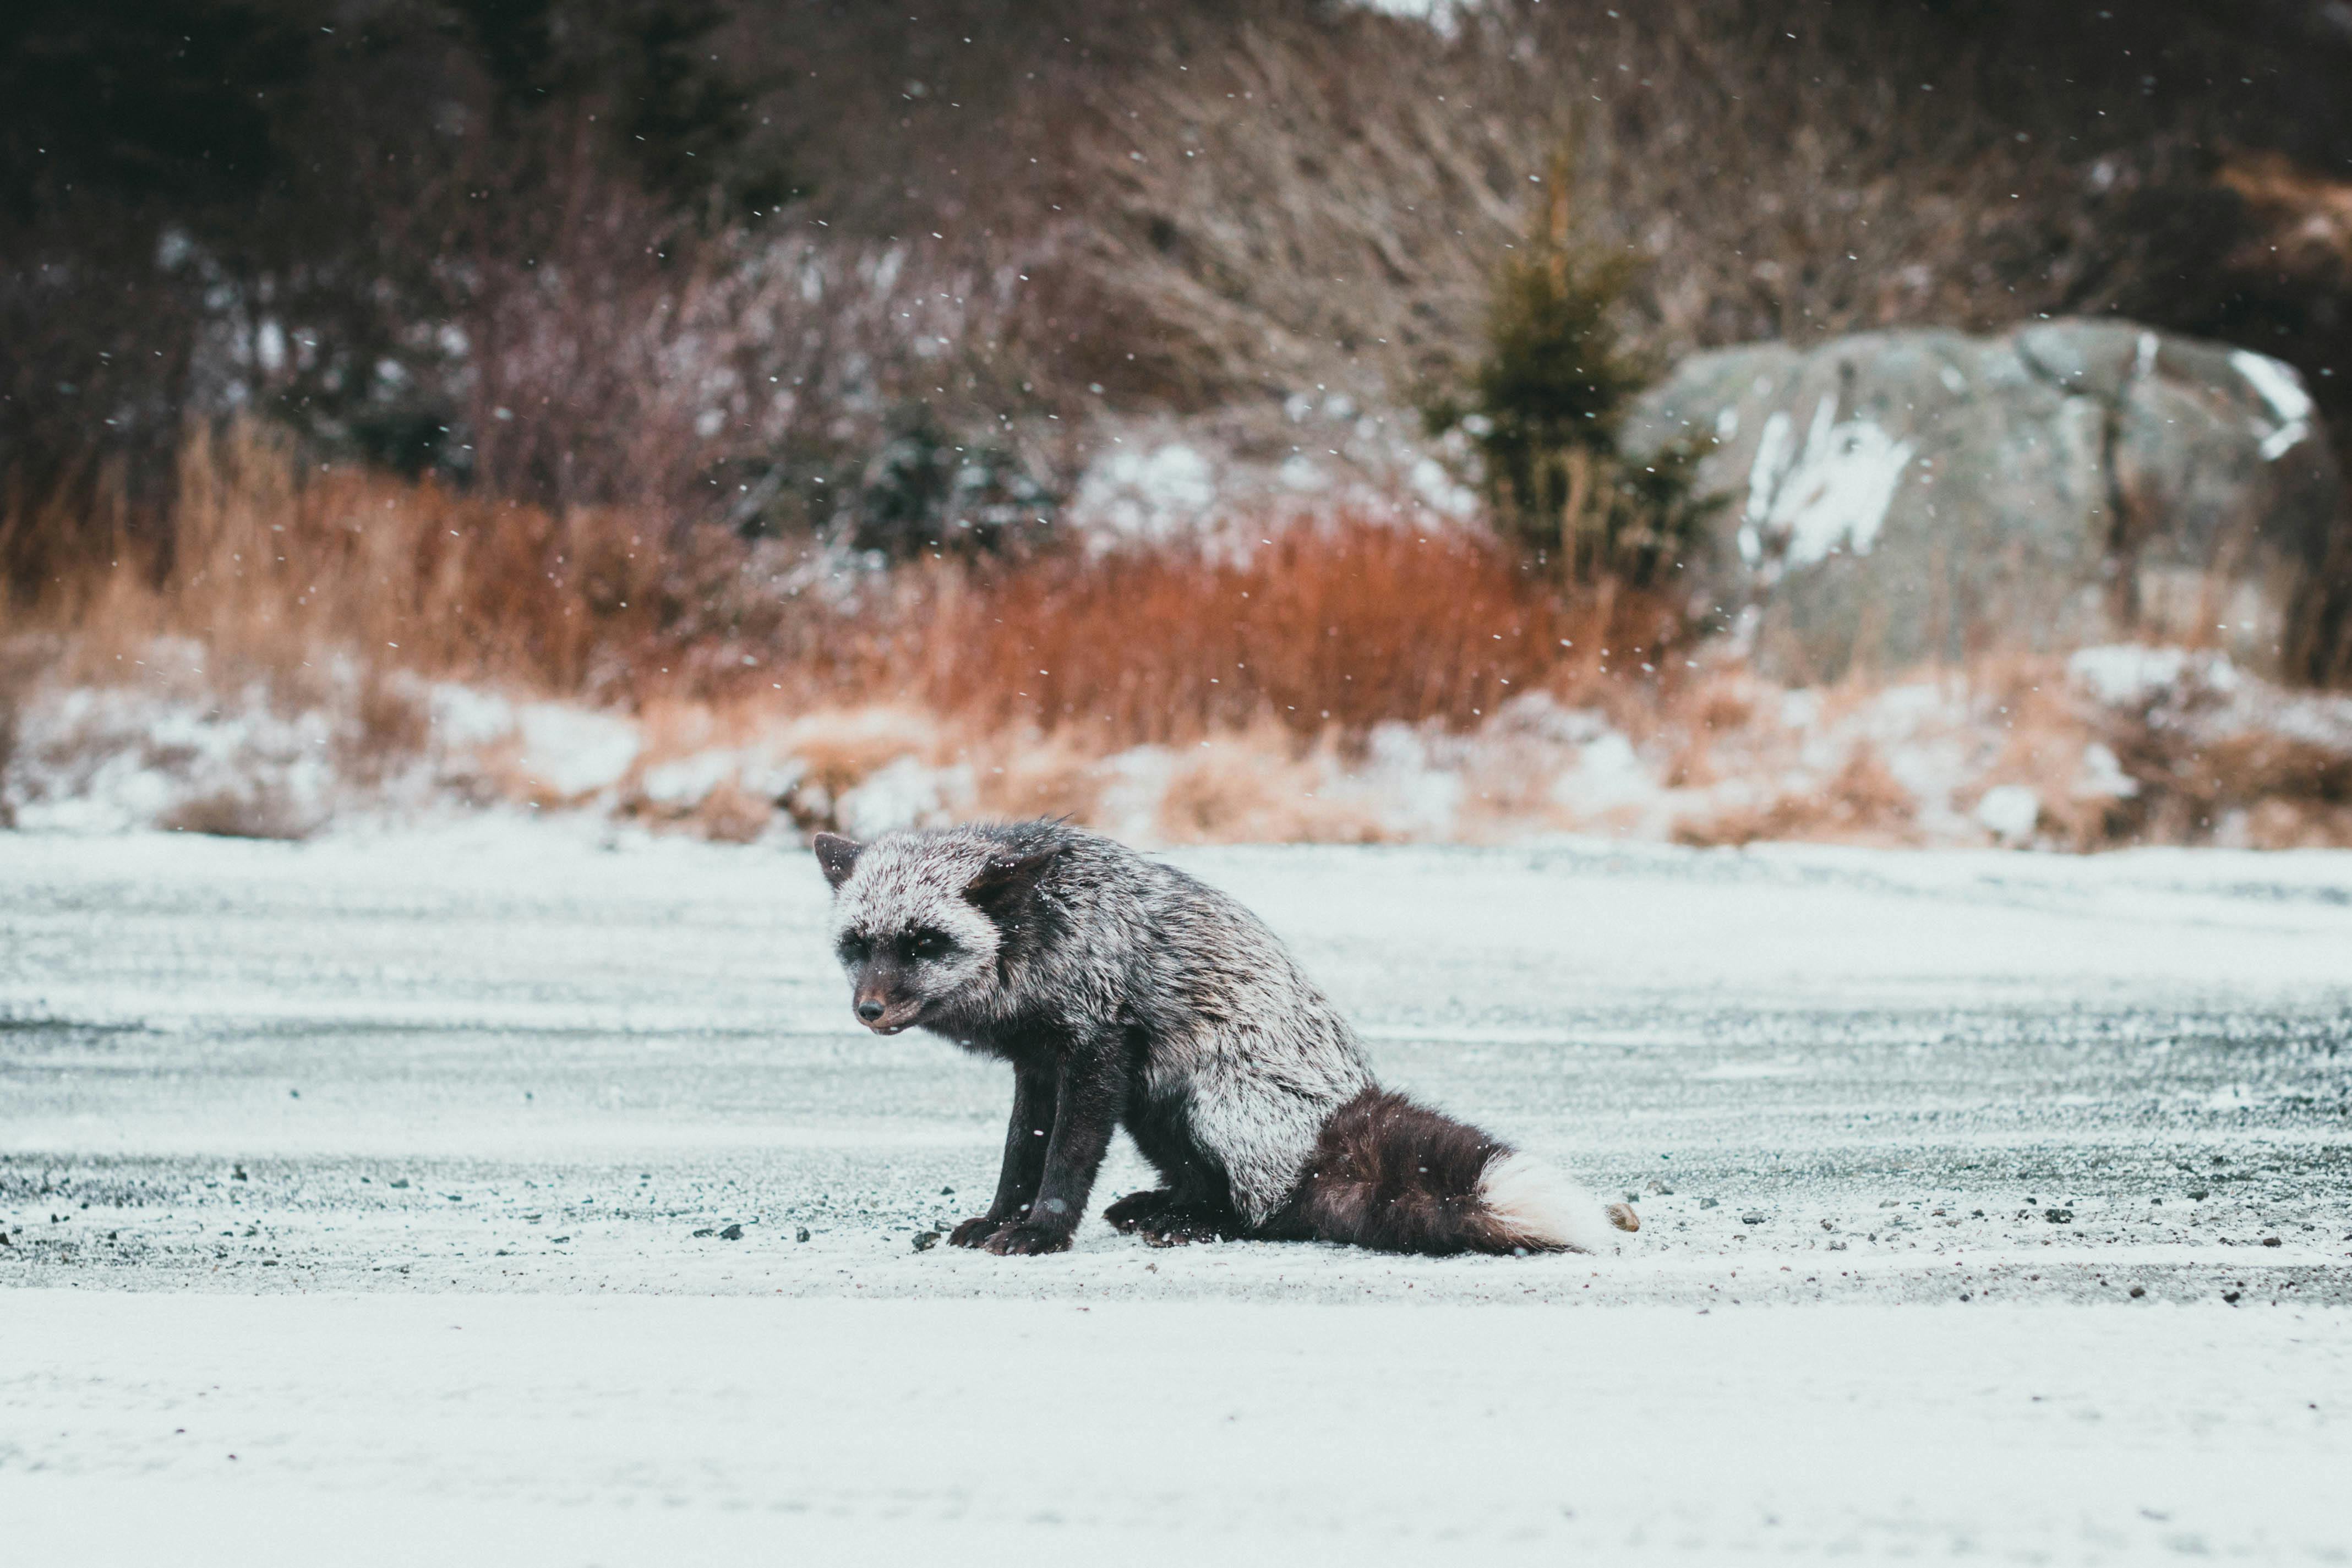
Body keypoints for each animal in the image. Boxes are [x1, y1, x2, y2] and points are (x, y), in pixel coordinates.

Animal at [813, 820, 1638, 1256]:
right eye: (858, 944)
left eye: (924, 943)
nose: (869, 1009)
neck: (1043, 937)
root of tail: (1334, 1125)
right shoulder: (1038, 1067)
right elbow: (1021, 1156)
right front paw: (997, 1219)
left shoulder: (1095, 1055)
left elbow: (1064, 1164)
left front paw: (1042, 1231)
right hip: (1152, 1112)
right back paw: (1158, 1208)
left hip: (1199, 1103)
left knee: (1265, 1213)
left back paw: (1193, 1222)